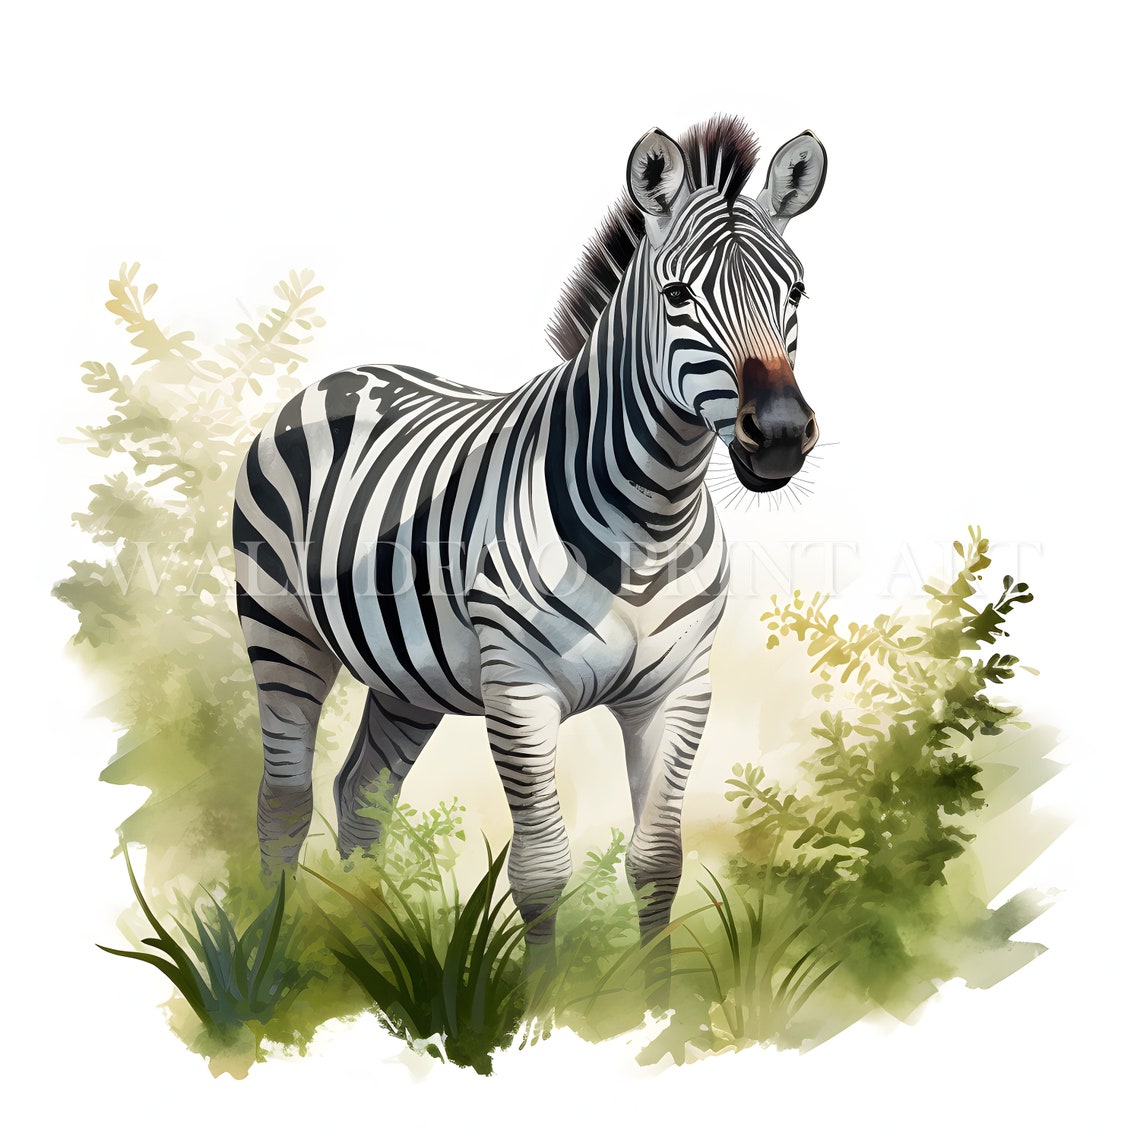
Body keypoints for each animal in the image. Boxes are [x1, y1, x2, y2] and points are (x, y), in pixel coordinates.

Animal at [233, 116, 827, 966]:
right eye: (677, 296)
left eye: (796, 292)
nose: (778, 436)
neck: (655, 516)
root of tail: (337, 377)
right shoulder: (519, 690)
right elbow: (542, 872)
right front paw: (544, 998)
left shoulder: (679, 689)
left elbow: (658, 862)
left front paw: (655, 998)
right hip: (280, 630)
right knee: (283, 800)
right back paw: (274, 956)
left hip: (409, 676)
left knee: (362, 797)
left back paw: (365, 943)